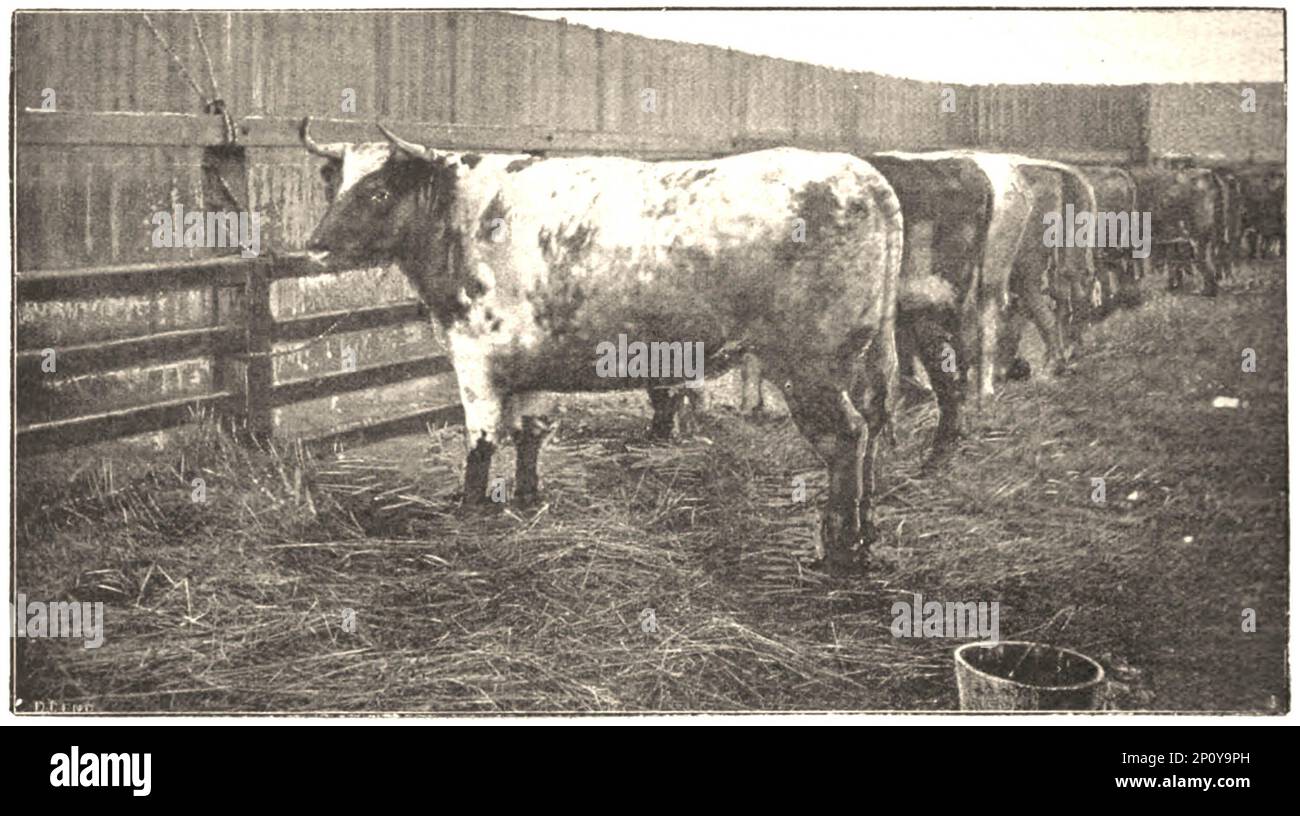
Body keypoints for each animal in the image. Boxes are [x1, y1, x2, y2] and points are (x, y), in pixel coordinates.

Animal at [300, 118, 913, 572]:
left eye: (377, 190)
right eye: (334, 184)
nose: (316, 246)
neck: (466, 217)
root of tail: (864, 176)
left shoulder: (475, 357)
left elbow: (481, 442)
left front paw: (470, 512)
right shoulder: (528, 359)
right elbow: (530, 432)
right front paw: (528, 498)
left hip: (810, 364)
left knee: (845, 438)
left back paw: (839, 548)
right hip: (864, 355)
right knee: (873, 423)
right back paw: (867, 533)